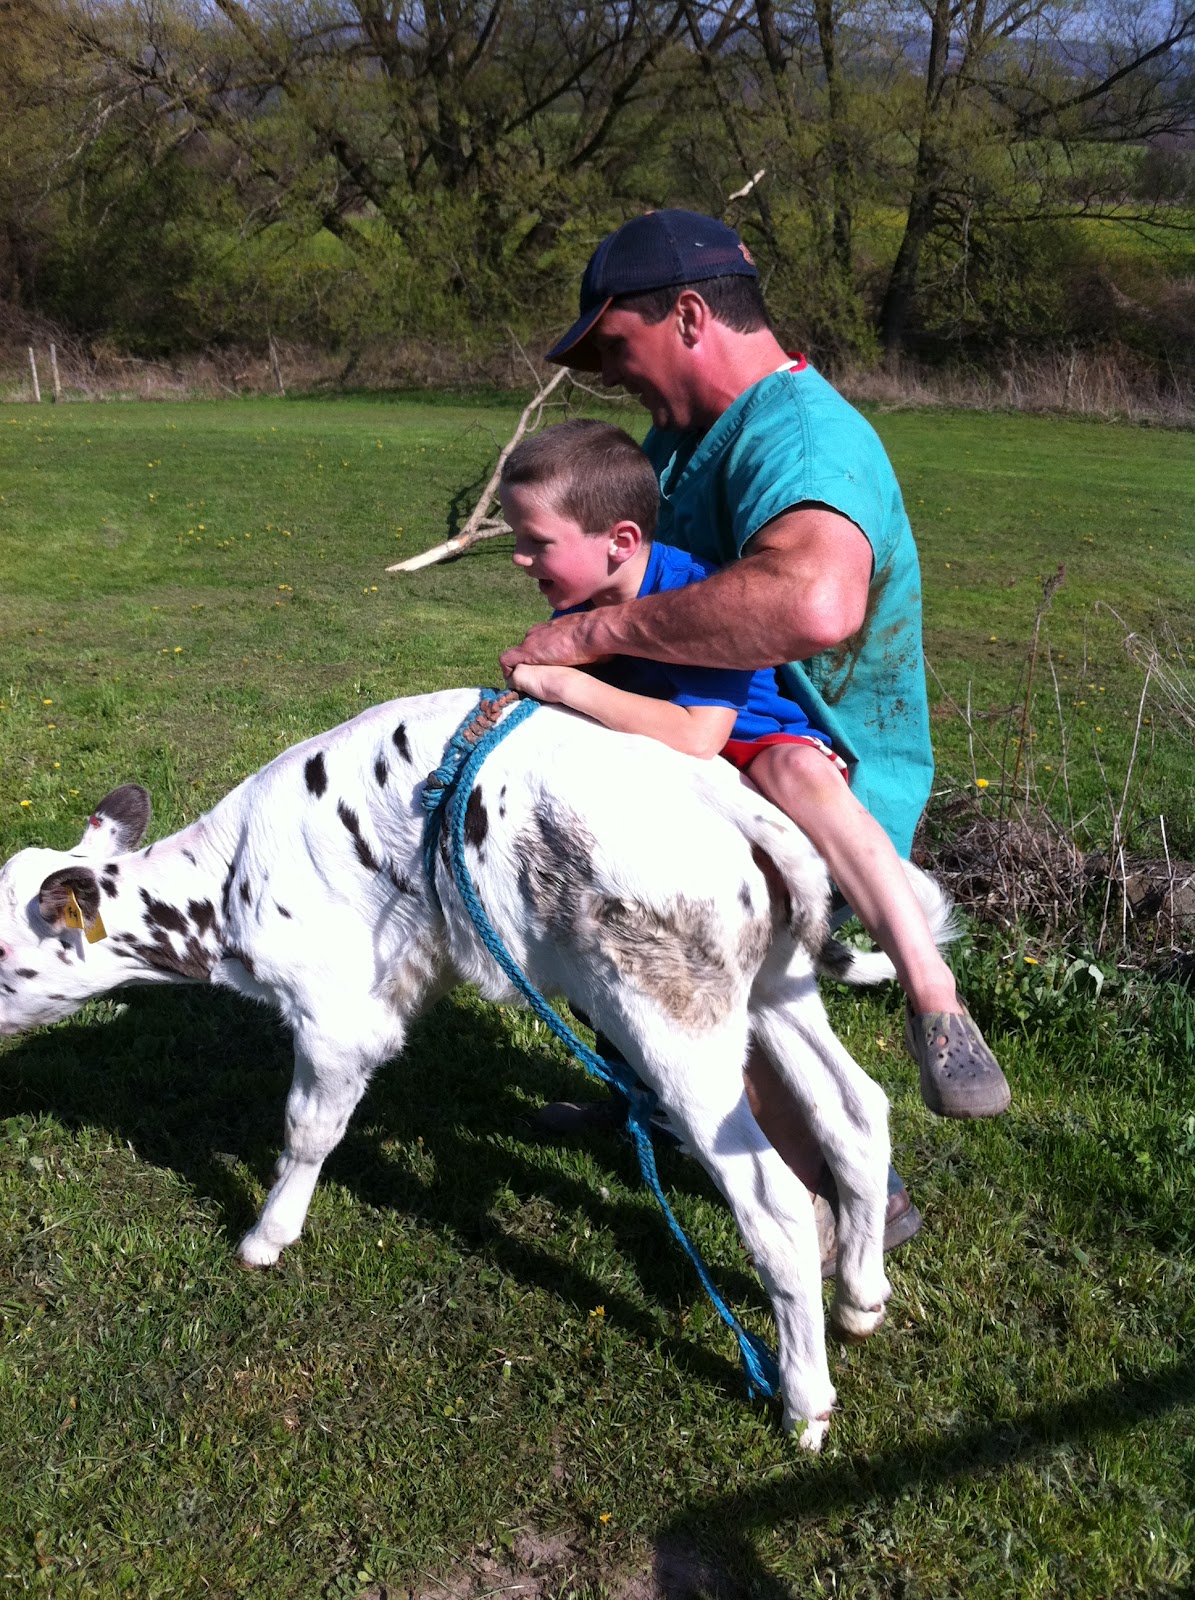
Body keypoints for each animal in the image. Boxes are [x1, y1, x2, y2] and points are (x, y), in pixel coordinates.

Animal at [0, 687, 950, 1448]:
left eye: (6, 957)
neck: (226, 889)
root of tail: (713, 790)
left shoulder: (337, 1018)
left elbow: (306, 1132)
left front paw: (266, 1237)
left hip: (669, 1017)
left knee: (774, 1202)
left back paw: (803, 1402)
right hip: (774, 985)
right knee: (855, 1112)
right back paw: (861, 1295)